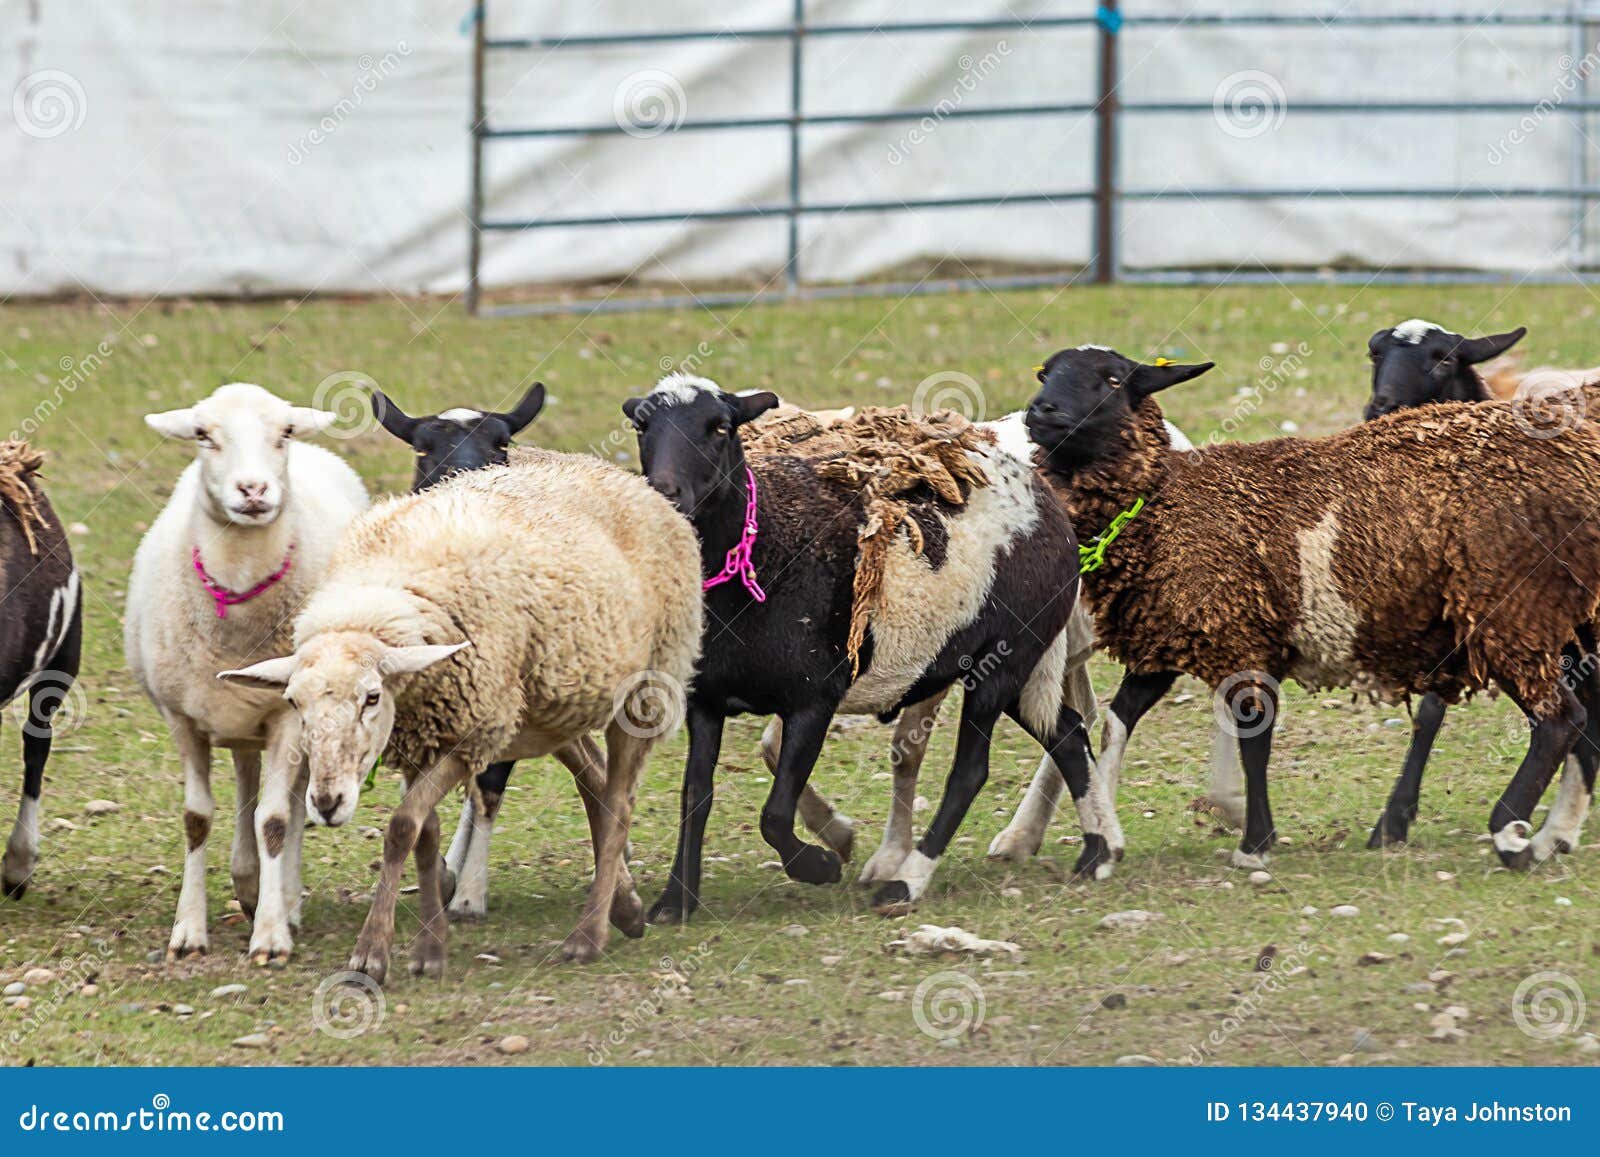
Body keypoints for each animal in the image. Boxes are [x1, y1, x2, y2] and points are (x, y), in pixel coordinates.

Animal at [125, 383, 366, 963]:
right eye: (202, 435)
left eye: (284, 433)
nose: (253, 489)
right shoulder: (182, 719)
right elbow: (198, 818)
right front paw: (188, 930)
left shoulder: (287, 716)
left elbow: (276, 820)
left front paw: (272, 935)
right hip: (236, 716)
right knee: (244, 782)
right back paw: (248, 882)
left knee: (292, 805)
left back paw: (284, 899)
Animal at [219, 448, 703, 977]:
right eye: (294, 703)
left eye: (372, 697)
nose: (326, 803)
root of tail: (622, 476)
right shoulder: (422, 734)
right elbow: (425, 833)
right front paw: (430, 949)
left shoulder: (473, 732)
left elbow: (402, 827)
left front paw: (373, 950)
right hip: (548, 703)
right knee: (593, 777)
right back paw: (627, 909)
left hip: (645, 690)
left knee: (617, 802)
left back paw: (588, 936)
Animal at [622, 374, 1103, 922]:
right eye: (642, 426)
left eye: (720, 426)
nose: (665, 491)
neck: (762, 548)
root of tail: (1044, 500)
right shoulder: (706, 702)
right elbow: (695, 797)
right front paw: (675, 900)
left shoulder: (814, 699)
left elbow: (775, 814)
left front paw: (821, 864)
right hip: (1016, 667)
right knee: (1067, 733)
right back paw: (1098, 851)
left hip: (1006, 657)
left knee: (971, 772)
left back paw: (908, 881)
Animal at [1024, 345, 1600, 871]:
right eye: (1044, 372)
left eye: (1112, 380)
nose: (1040, 410)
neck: (1165, 501)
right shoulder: (1171, 636)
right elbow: (1116, 723)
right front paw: (1104, 837)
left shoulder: (1239, 633)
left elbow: (1254, 740)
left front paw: (1255, 843)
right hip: (1565, 622)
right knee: (1583, 721)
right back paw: (1552, 836)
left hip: (1511, 610)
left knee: (1560, 721)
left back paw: (1513, 837)